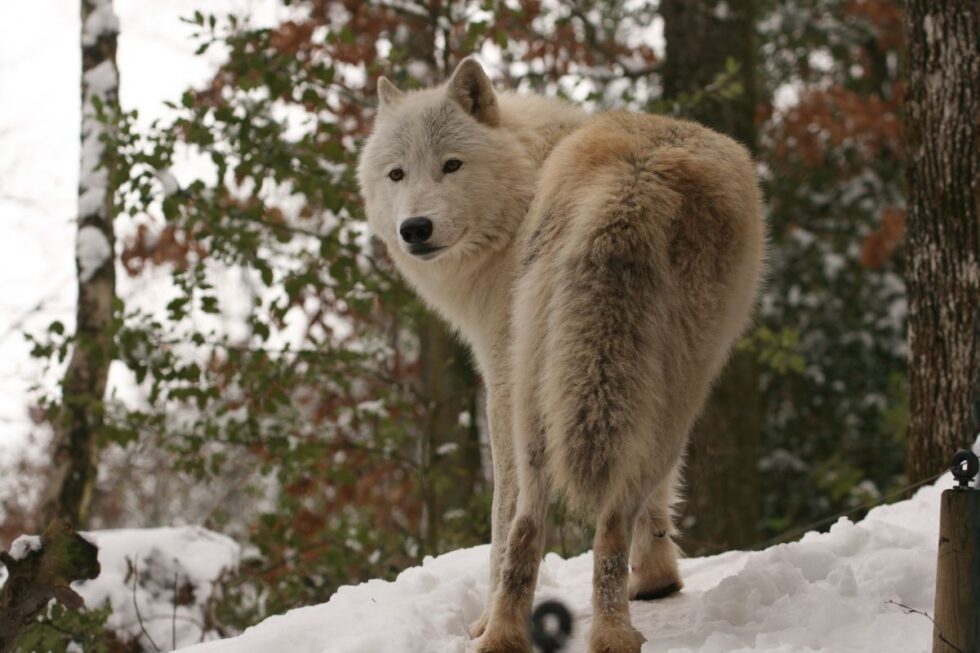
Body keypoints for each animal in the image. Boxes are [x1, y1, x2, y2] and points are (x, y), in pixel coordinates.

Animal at [358, 57, 766, 653]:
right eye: (397, 174)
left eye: (451, 165)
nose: (415, 229)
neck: (523, 186)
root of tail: (632, 185)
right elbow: (655, 502)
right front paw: (658, 579)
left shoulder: (500, 380)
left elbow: (500, 516)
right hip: (649, 389)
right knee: (597, 514)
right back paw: (588, 630)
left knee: (547, 519)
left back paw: (519, 632)